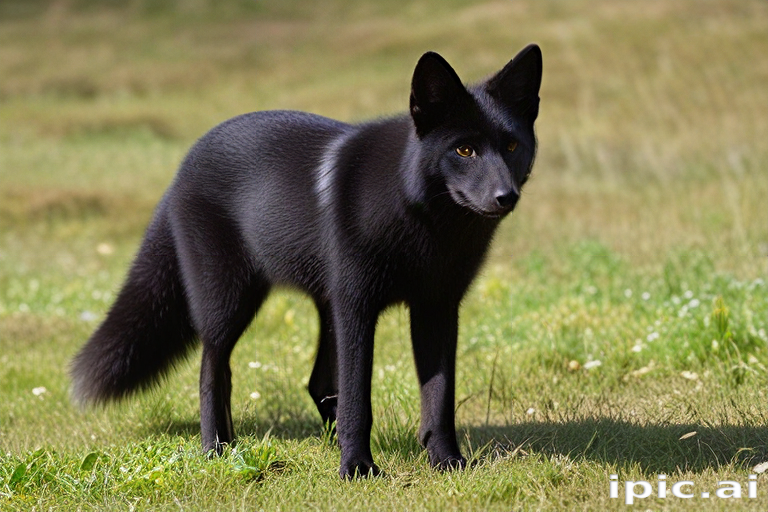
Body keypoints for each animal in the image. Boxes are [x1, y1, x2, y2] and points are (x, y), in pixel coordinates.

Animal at [71, 44, 542, 479]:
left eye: (512, 145)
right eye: (464, 151)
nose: (506, 197)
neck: (422, 221)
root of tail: (182, 168)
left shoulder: (437, 309)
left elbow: (439, 398)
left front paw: (446, 464)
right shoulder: (357, 309)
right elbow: (358, 400)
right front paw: (357, 470)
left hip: (321, 308)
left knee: (316, 384)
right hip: (230, 304)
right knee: (213, 373)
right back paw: (218, 451)